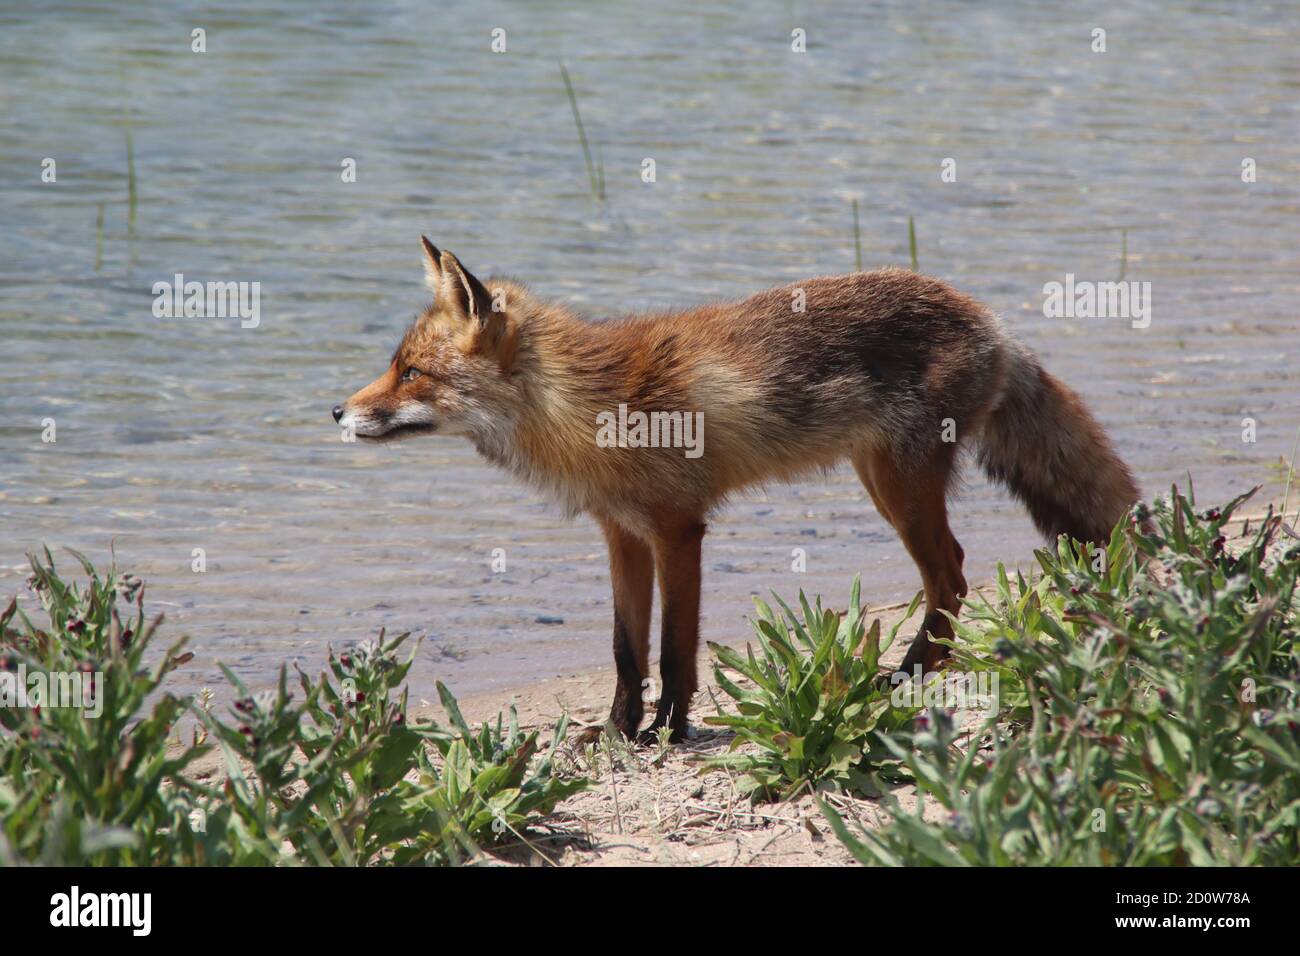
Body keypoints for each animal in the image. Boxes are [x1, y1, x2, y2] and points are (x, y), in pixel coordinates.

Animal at [334, 237, 1140, 744]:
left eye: (411, 374)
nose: (337, 412)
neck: (583, 404)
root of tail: (991, 322)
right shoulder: (622, 535)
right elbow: (626, 651)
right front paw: (616, 733)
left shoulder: (678, 529)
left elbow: (672, 650)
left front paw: (668, 731)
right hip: (879, 479)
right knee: (955, 575)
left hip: (900, 486)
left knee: (954, 575)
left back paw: (902, 680)